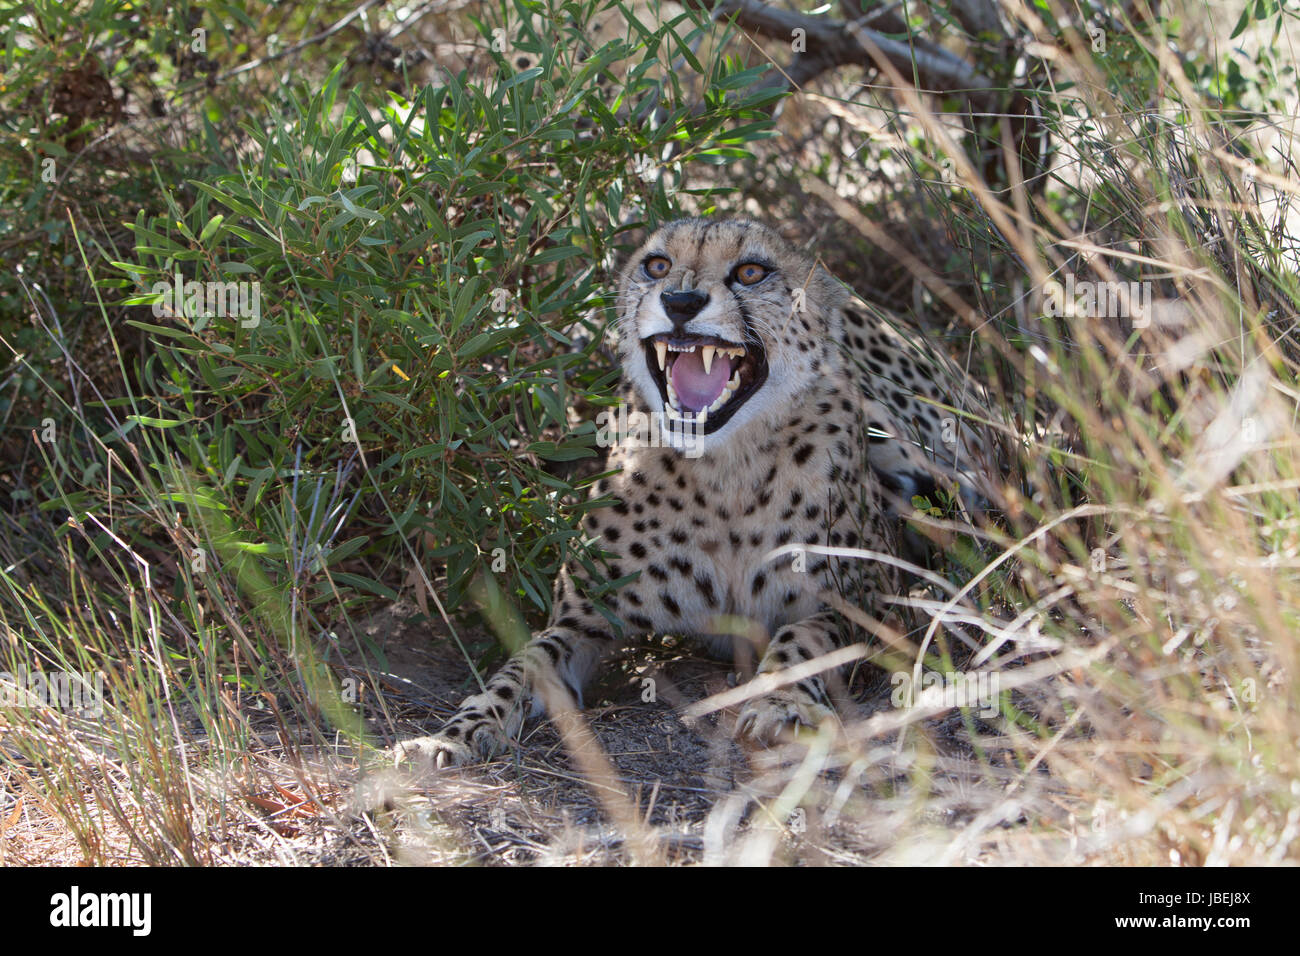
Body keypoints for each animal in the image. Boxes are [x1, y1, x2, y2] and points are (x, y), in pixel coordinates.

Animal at [393, 217, 1000, 770]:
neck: (721, 473)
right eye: (657, 265)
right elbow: (521, 665)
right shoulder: (585, 620)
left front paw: (777, 703)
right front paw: (455, 732)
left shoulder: (869, 601)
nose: (680, 301)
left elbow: (803, 638)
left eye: (751, 272)